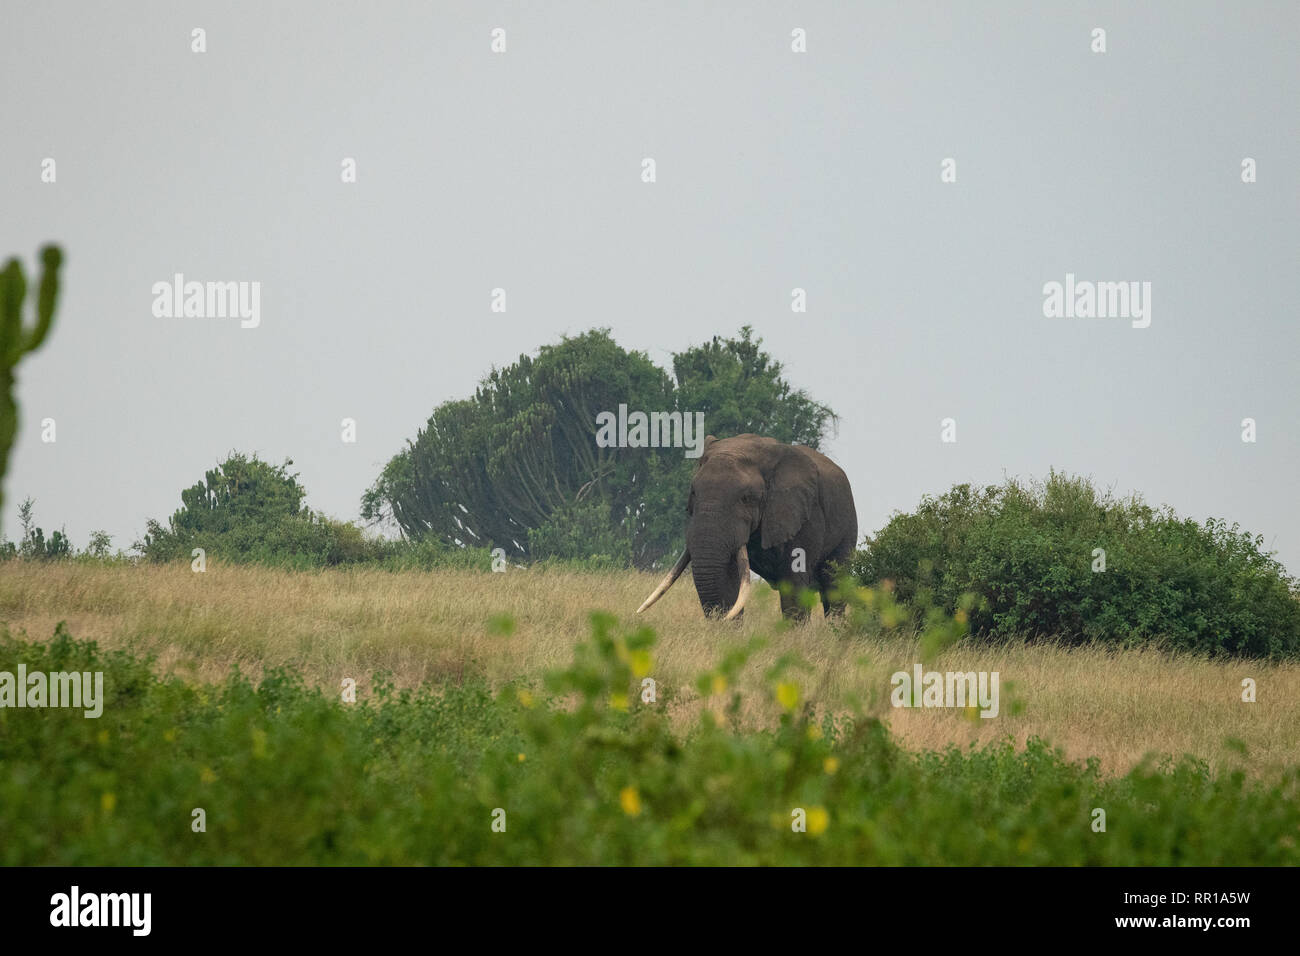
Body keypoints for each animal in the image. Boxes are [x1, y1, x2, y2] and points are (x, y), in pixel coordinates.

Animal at [637, 434, 858, 621]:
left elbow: (793, 581)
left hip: (847, 526)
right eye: (693, 493)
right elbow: (728, 580)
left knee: (834, 586)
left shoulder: (805, 516)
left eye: (747, 498)